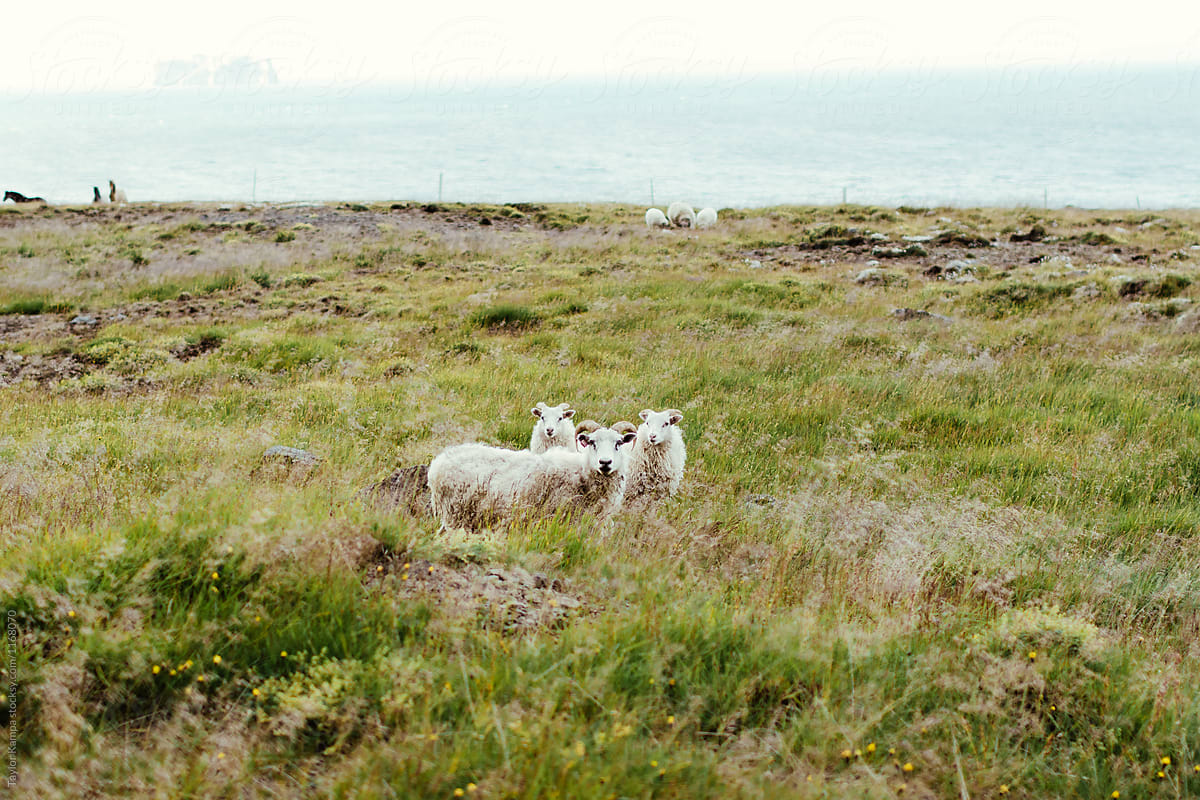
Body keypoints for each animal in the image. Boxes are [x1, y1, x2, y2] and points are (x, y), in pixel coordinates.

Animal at [427, 426, 638, 532]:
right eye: (592, 443)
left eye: (619, 443)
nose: (605, 462)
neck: (580, 473)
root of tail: (437, 464)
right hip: (455, 513)